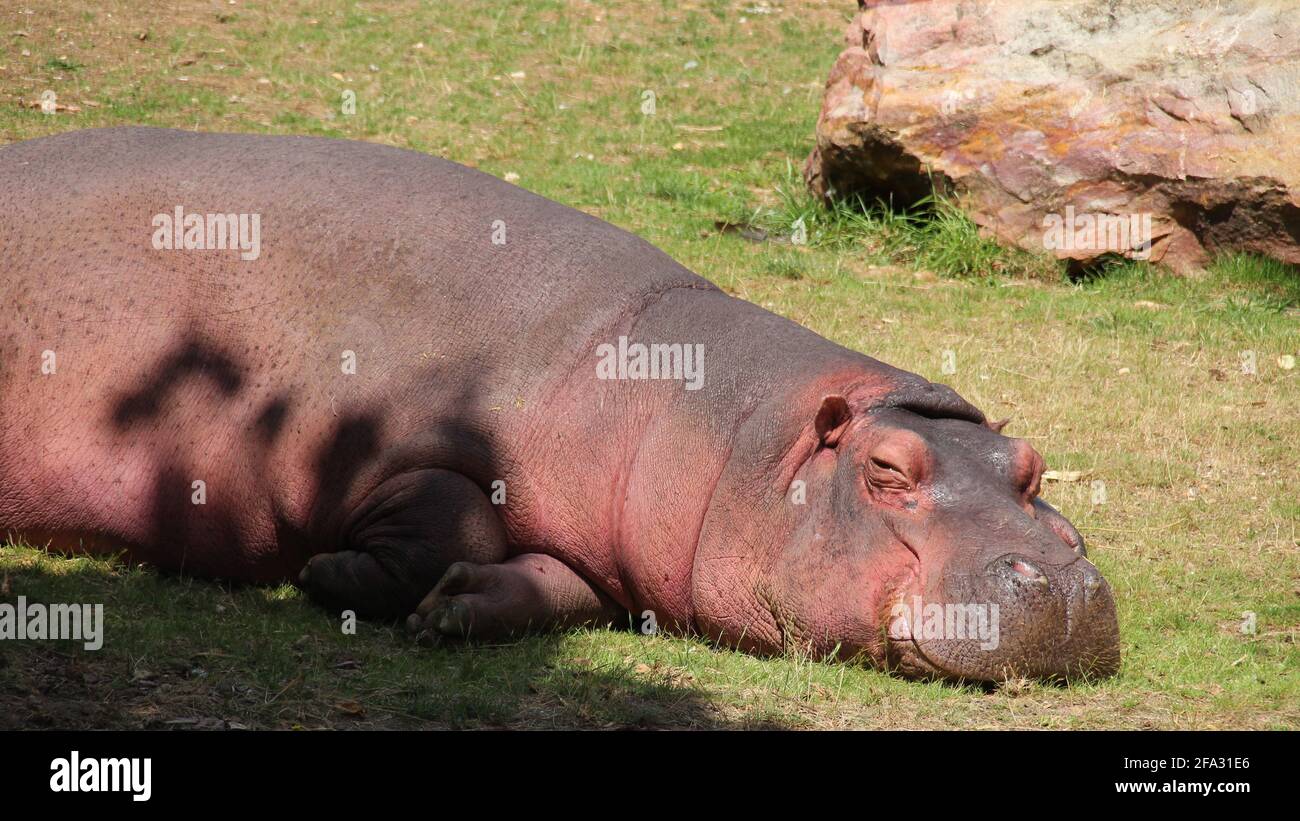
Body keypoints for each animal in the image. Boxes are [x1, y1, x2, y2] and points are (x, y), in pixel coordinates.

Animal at [0, 127, 1119, 682]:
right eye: (889, 471)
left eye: (1028, 466)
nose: (1062, 578)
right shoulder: (401, 451)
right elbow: (441, 510)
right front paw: (330, 574)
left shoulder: (597, 556)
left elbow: (557, 586)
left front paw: (453, 607)